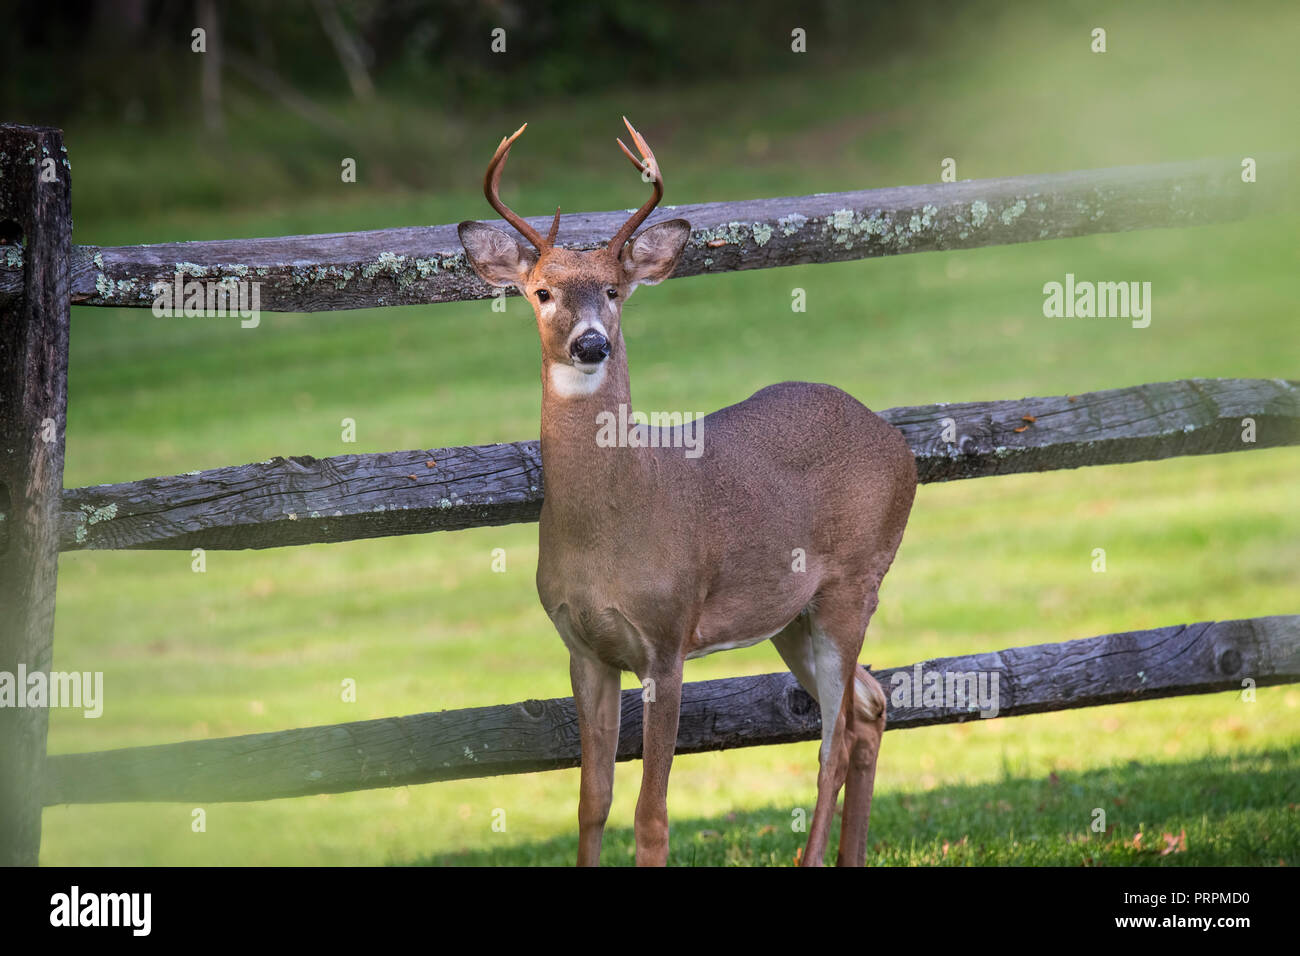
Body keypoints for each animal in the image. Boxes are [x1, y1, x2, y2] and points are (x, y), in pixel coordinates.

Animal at [457, 119, 916, 867]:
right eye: (542, 292)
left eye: (615, 290)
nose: (591, 344)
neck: (608, 526)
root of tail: (897, 441)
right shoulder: (583, 648)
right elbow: (591, 802)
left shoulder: (667, 640)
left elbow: (652, 813)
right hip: (791, 613)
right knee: (870, 705)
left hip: (854, 581)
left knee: (836, 737)